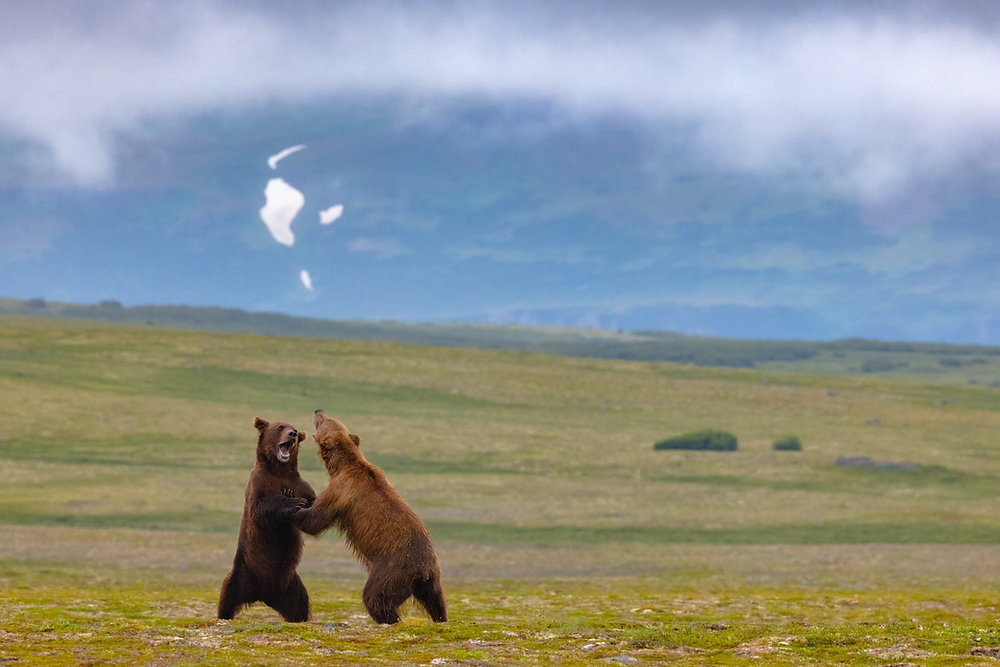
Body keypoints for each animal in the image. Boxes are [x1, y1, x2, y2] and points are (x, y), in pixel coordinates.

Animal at [217, 417, 316, 622]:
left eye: (295, 429)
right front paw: (292, 501)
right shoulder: (258, 485)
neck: (279, 470)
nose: (293, 434)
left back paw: (300, 617)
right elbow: (261, 508)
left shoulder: (300, 484)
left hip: (290, 584)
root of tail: (263, 593)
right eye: (280, 427)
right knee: (227, 595)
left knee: (300, 603)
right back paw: (223, 615)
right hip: (241, 573)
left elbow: (313, 502)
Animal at [291, 409, 447, 624]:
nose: (318, 410)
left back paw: (389, 618)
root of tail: (422, 570)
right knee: (436, 600)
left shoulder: (340, 492)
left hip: (392, 569)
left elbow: (315, 520)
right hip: (431, 578)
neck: (342, 465)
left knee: (376, 596)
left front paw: (291, 508)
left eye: (325, 421)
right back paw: (441, 617)